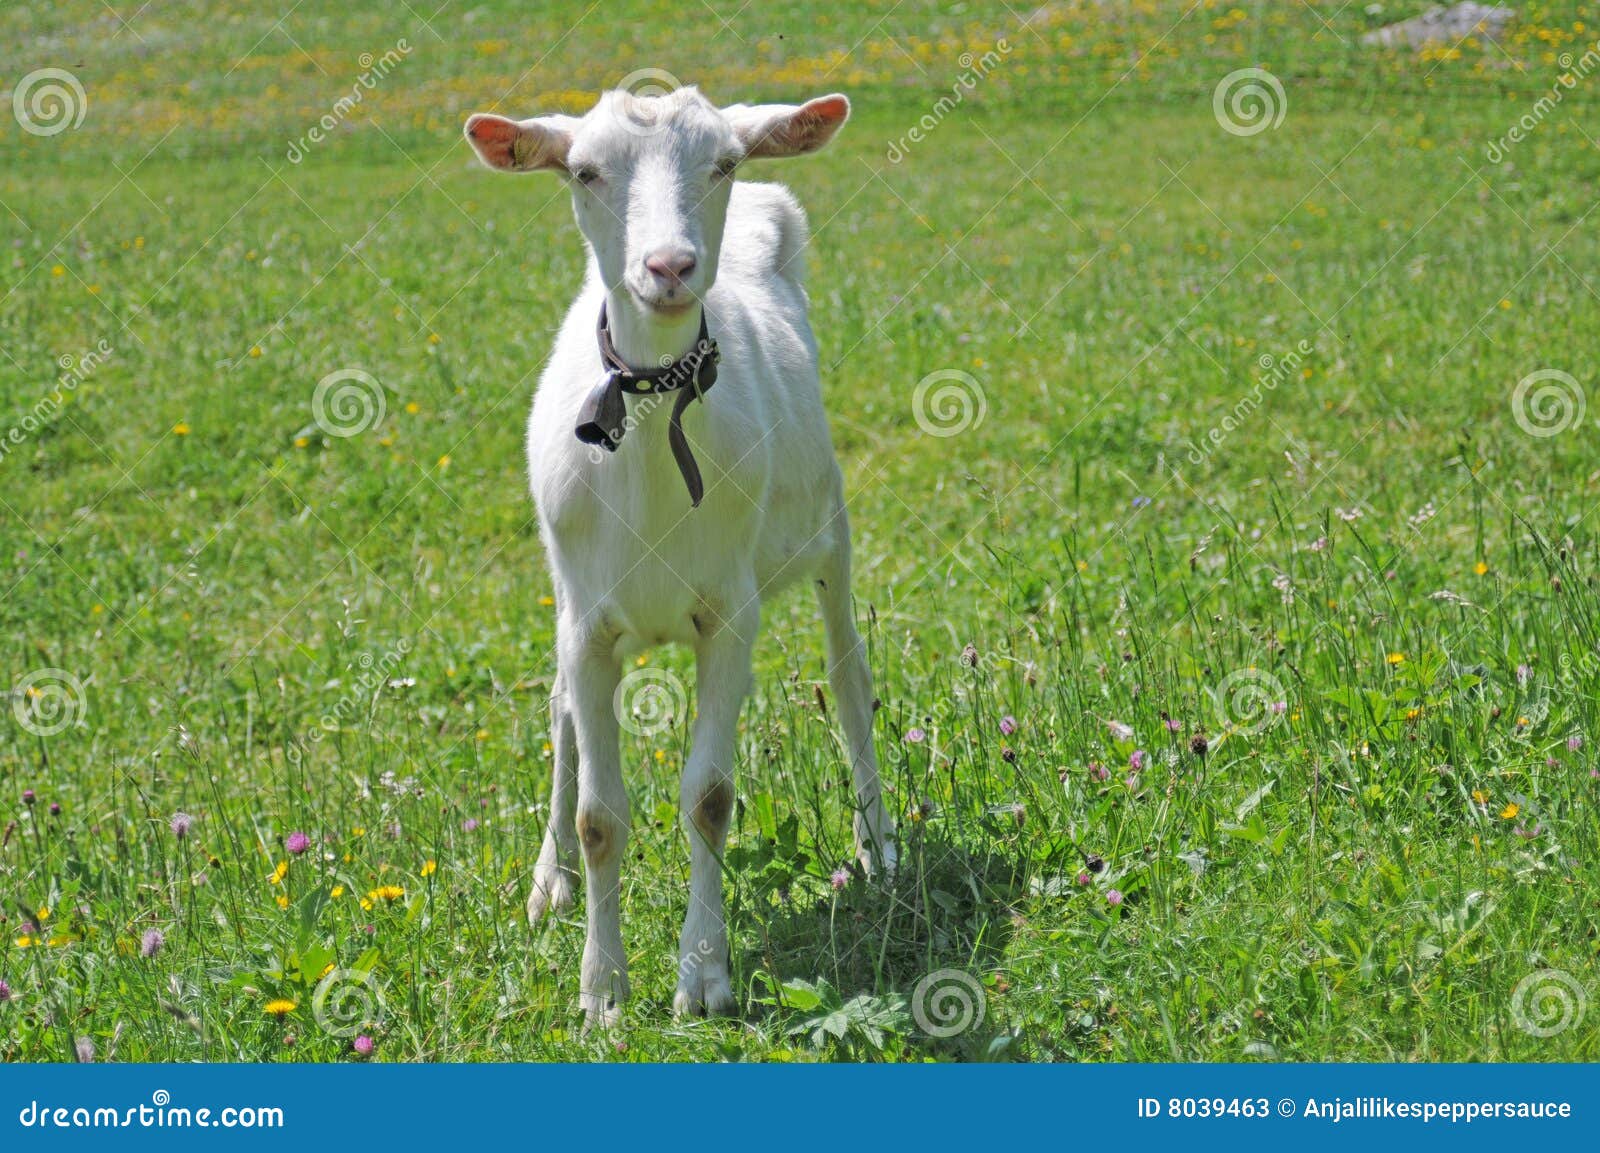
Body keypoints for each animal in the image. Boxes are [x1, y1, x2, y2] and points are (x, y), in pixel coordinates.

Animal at [464, 86, 895, 1027]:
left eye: (723, 162)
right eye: (585, 171)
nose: (668, 266)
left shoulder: (730, 613)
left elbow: (708, 795)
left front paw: (702, 975)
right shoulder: (586, 623)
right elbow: (598, 814)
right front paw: (601, 988)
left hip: (832, 529)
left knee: (850, 676)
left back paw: (879, 844)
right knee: (558, 707)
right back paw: (547, 881)